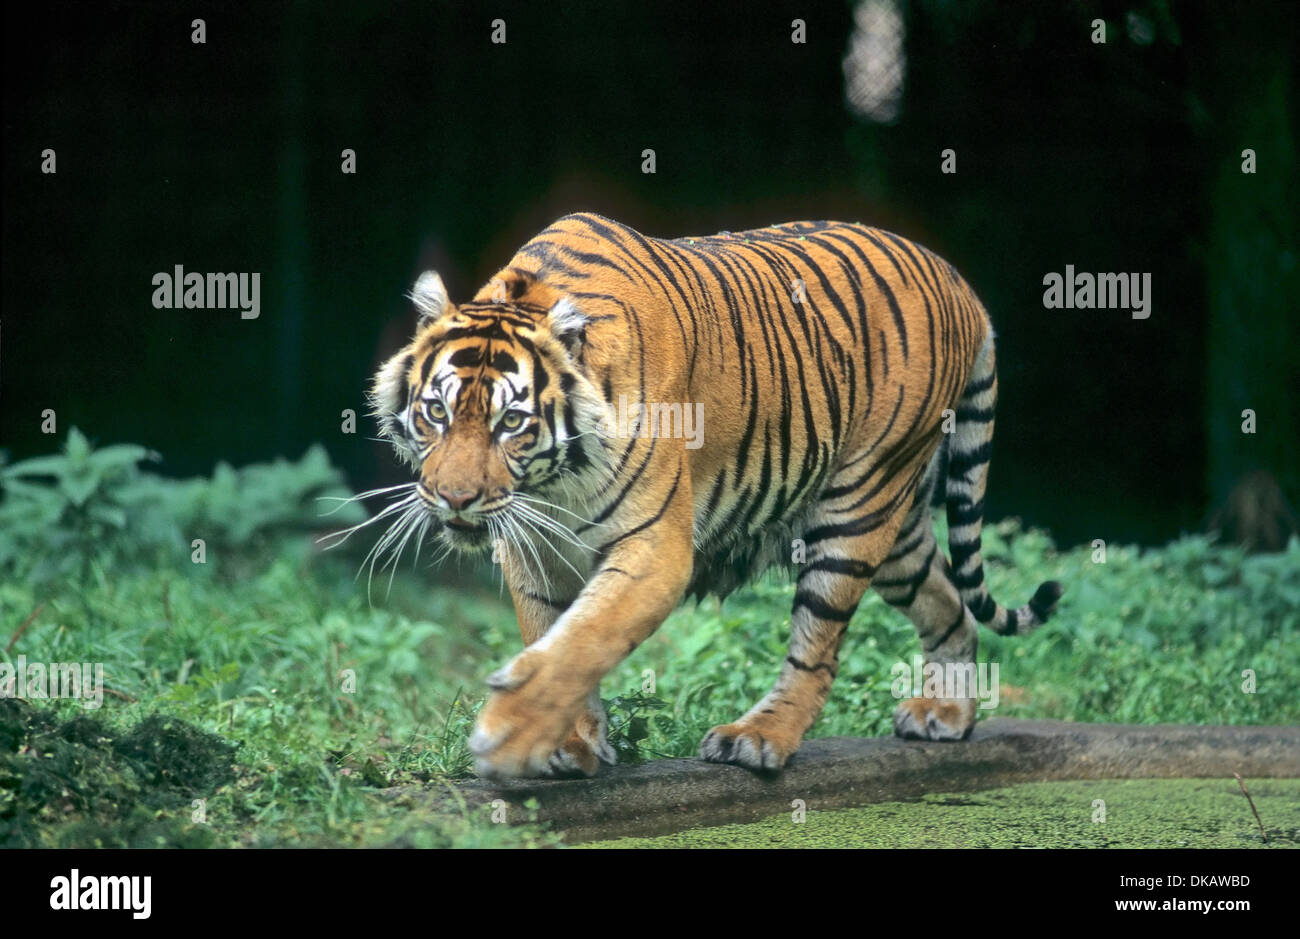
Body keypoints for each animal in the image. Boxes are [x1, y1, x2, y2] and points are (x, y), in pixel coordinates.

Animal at [367, 211, 1061, 779]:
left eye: (511, 422)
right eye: (436, 412)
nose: (454, 499)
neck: (551, 486)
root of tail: (960, 282)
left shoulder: (653, 548)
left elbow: (582, 641)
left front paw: (511, 733)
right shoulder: (533, 548)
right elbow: (553, 634)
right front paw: (571, 743)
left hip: (856, 509)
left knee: (818, 651)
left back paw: (758, 738)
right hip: (896, 530)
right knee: (951, 605)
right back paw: (948, 711)